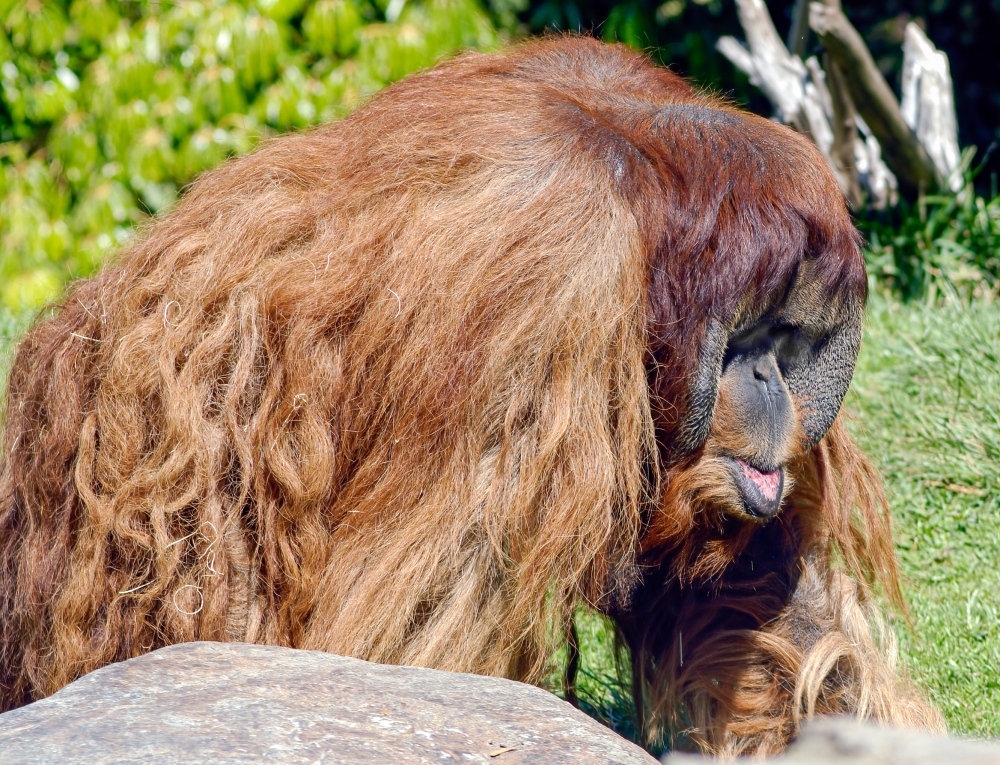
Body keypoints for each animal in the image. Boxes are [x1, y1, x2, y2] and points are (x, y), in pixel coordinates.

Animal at [0, 36, 940, 754]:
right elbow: (413, 629)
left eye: (791, 339)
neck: (650, 195)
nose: (769, 382)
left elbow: (762, 583)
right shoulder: (553, 278)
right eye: (744, 337)